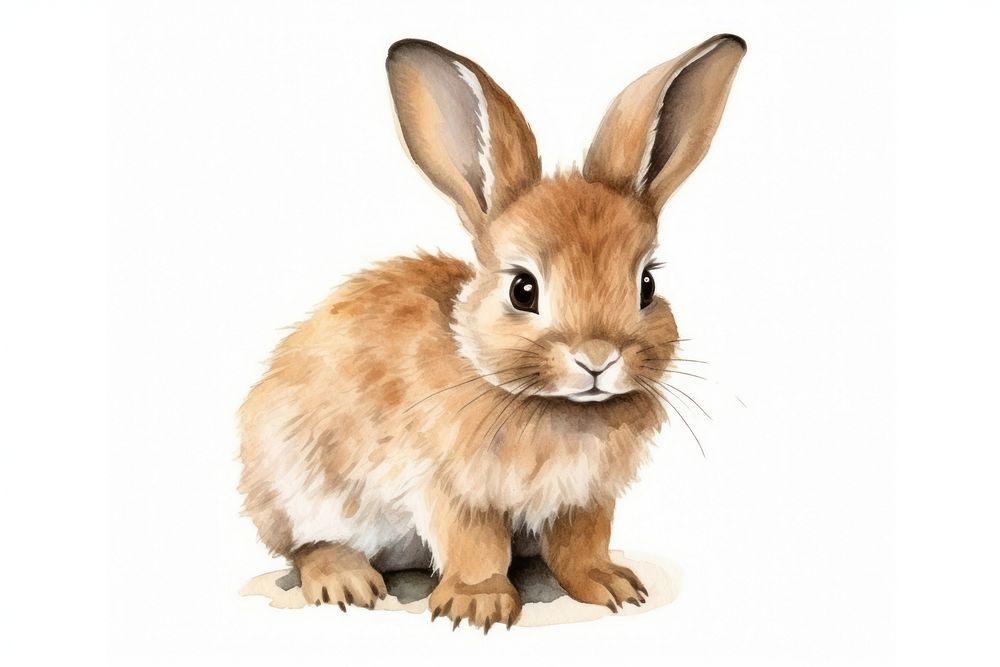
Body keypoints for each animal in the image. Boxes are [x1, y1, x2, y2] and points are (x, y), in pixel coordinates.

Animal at [239, 34, 745, 631]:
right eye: (522, 289)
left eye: (646, 285)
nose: (597, 358)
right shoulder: (452, 490)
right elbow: (476, 545)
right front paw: (477, 605)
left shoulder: (586, 499)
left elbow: (581, 545)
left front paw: (613, 586)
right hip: (298, 482)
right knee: (304, 544)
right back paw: (344, 579)